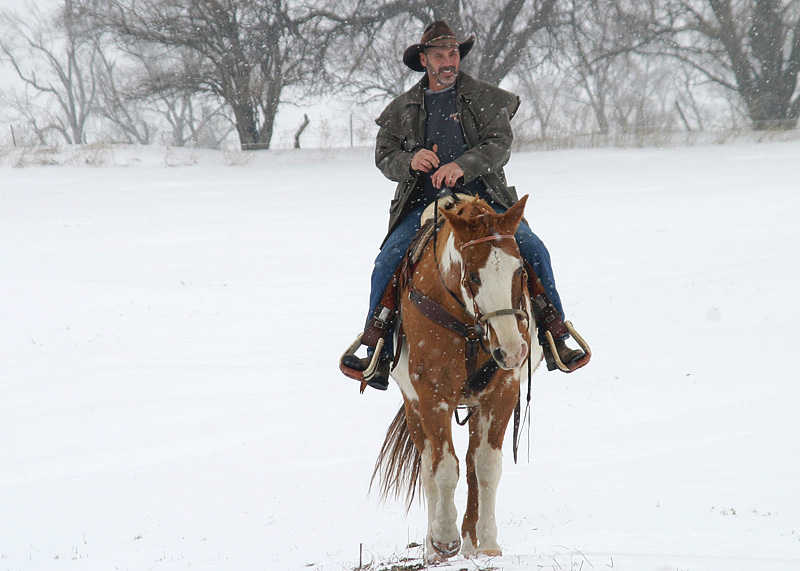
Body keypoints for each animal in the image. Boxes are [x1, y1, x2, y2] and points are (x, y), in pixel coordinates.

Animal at [372, 194, 543, 561]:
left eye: (521, 270)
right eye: (473, 276)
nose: (512, 350)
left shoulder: (502, 392)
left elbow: (486, 467)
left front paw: (488, 542)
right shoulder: (432, 397)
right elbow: (443, 469)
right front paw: (444, 538)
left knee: (471, 463)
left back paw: (471, 540)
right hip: (414, 406)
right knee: (428, 466)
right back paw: (434, 545)